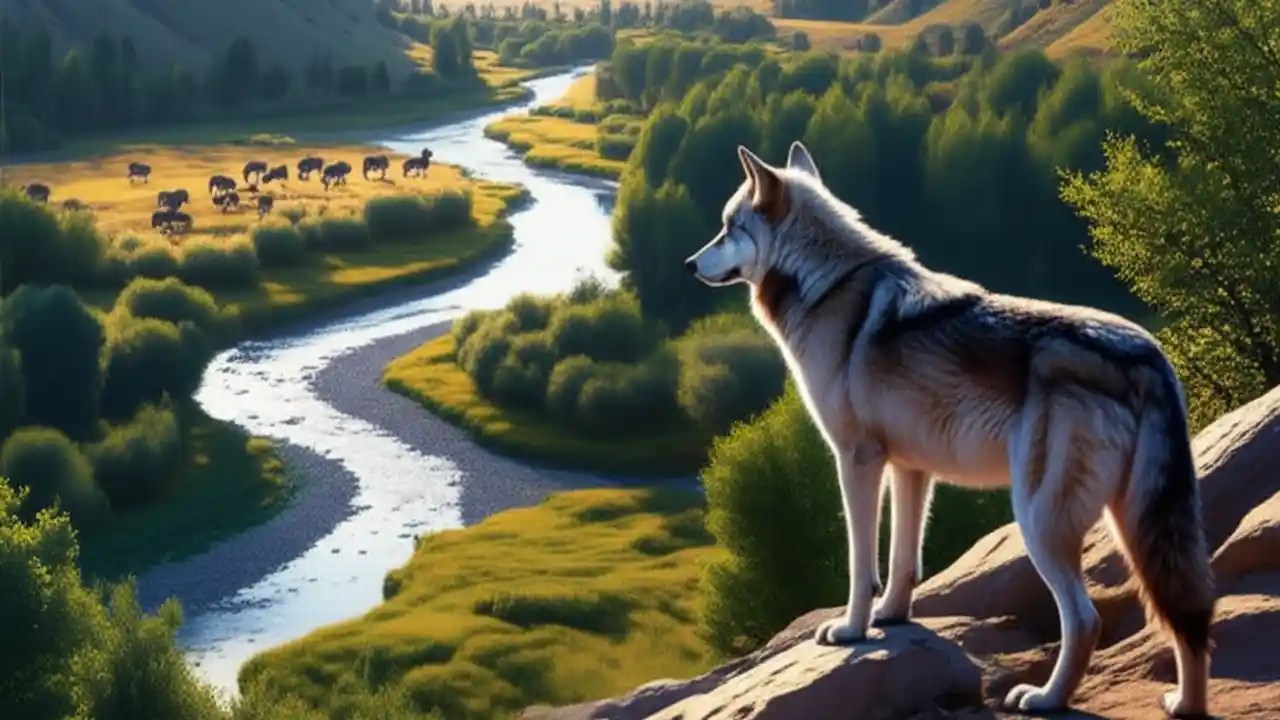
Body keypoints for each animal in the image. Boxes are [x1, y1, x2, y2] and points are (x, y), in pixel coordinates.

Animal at [684, 141, 1215, 718]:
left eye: (726, 227)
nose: (689, 263)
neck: (829, 284)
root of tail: (1147, 355)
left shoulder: (856, 459)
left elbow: (860, 565)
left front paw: (850, 630)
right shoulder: (910, 468)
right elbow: (904, 563)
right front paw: (891, 617)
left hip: (1040, 519)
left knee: (1086, 619)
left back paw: (1045, 698)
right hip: (1134, 526)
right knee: (1188, 616)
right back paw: (1184, 704)